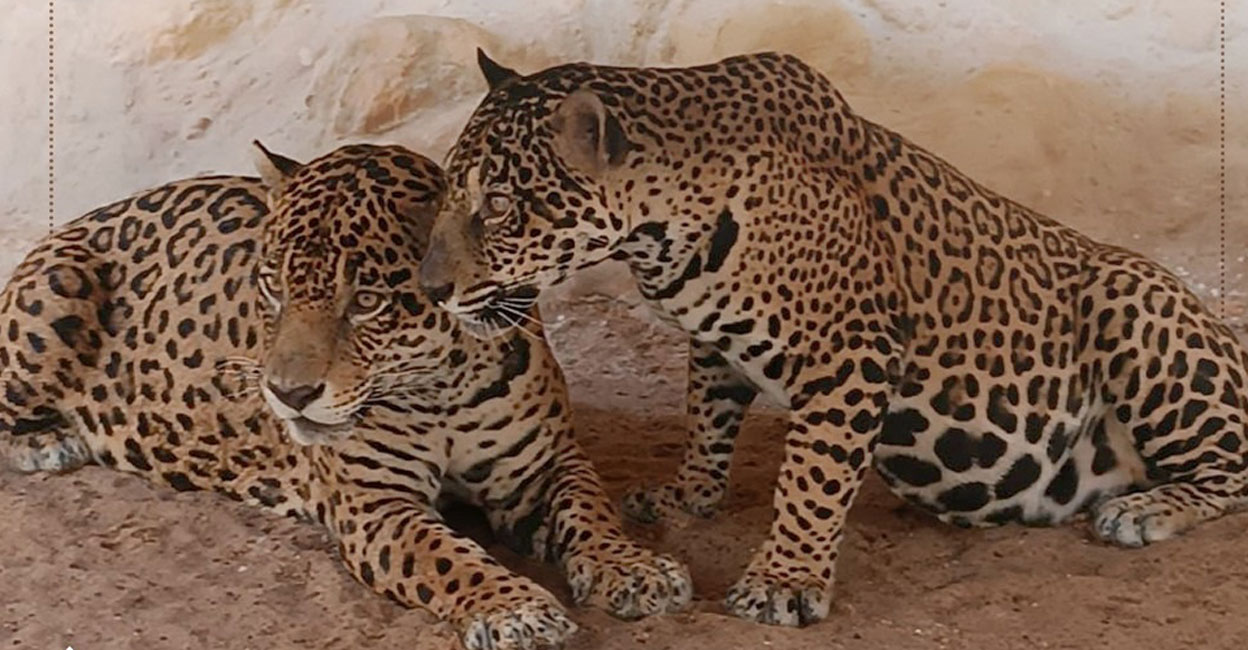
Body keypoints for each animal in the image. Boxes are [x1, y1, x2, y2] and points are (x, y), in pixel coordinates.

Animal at [0, 141, 691, 649]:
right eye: (271, 286)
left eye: (366, 302)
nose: (287, 393)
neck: (443, 387)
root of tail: (84, 216)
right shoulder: (374, 504)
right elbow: (448, 558)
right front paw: (516, 608)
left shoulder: (546, 465)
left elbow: (590, 509)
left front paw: (633, 567)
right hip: (57, 290)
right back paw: (49, 443)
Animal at [417, 50, 1248, 628]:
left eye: (498, 204)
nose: (428, 289)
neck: (661, 238)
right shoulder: (715, 342)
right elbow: (706, 420)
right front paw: (689, 496)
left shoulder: (851, 354)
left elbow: (811, 478)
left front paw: (785, 581)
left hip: (1131, 298)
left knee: (1232, 466)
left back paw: (1144, 511)